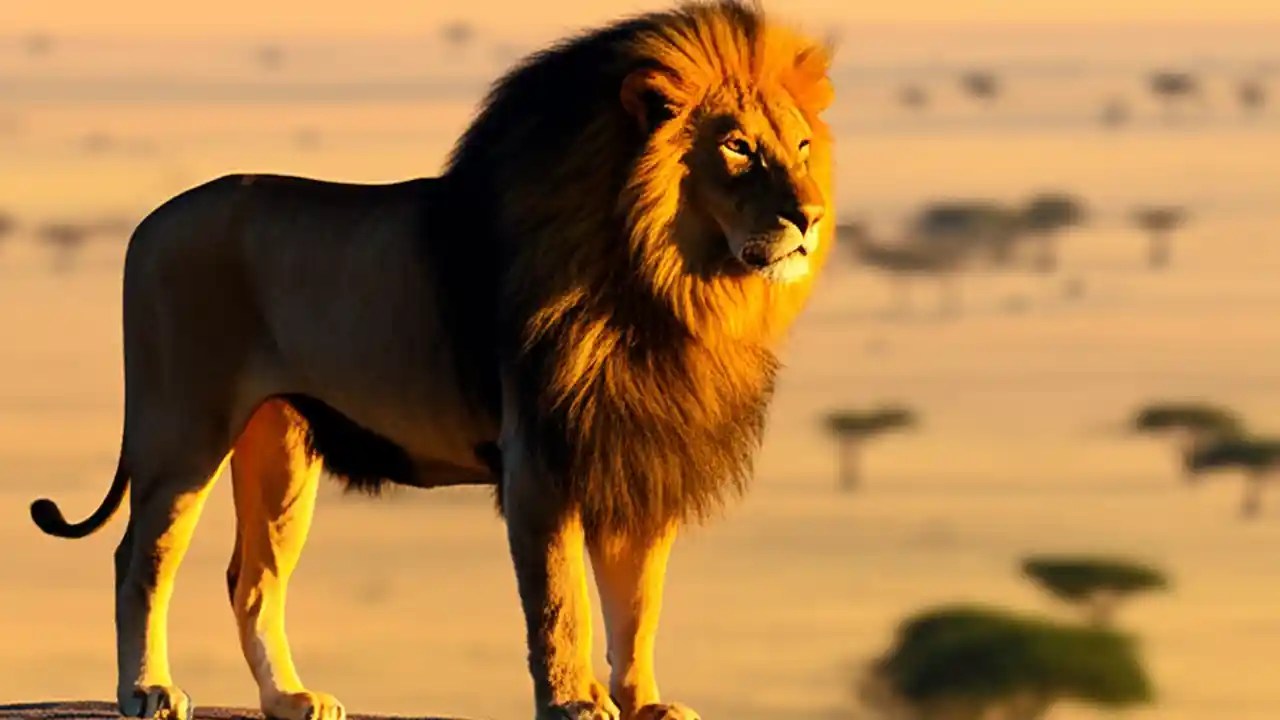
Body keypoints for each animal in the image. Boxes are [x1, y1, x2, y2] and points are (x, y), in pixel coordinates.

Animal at [29, 3, 835, 720]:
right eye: (738, 148)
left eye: (800, 147)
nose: (811, 217)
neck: (665, 283)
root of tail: (150, 222)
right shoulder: (540, 461)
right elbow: (562, 602)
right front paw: (573, 703)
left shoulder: (636, 454)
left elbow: (638, 607)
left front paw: (646, 704)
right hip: (181, 429)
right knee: (140, 560)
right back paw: (148, 691)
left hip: (280, 448)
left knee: (251, 578)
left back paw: (290, 700)